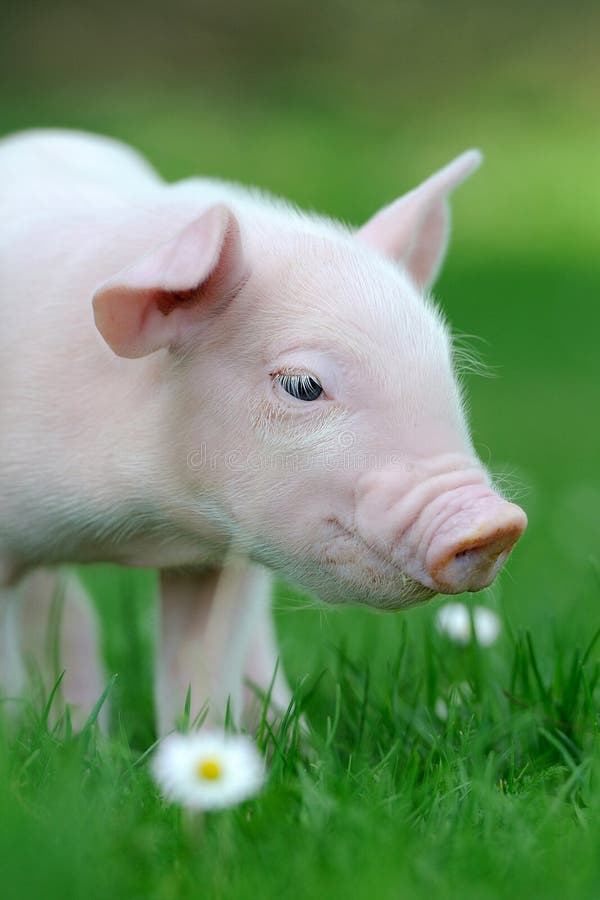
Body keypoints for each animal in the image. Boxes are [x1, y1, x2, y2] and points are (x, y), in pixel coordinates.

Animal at [0, 129, 527, 734]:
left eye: (444, 372)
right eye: (302, 385)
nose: (496, 524)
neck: (131, 529)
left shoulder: (218, 556)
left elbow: (200, 663)